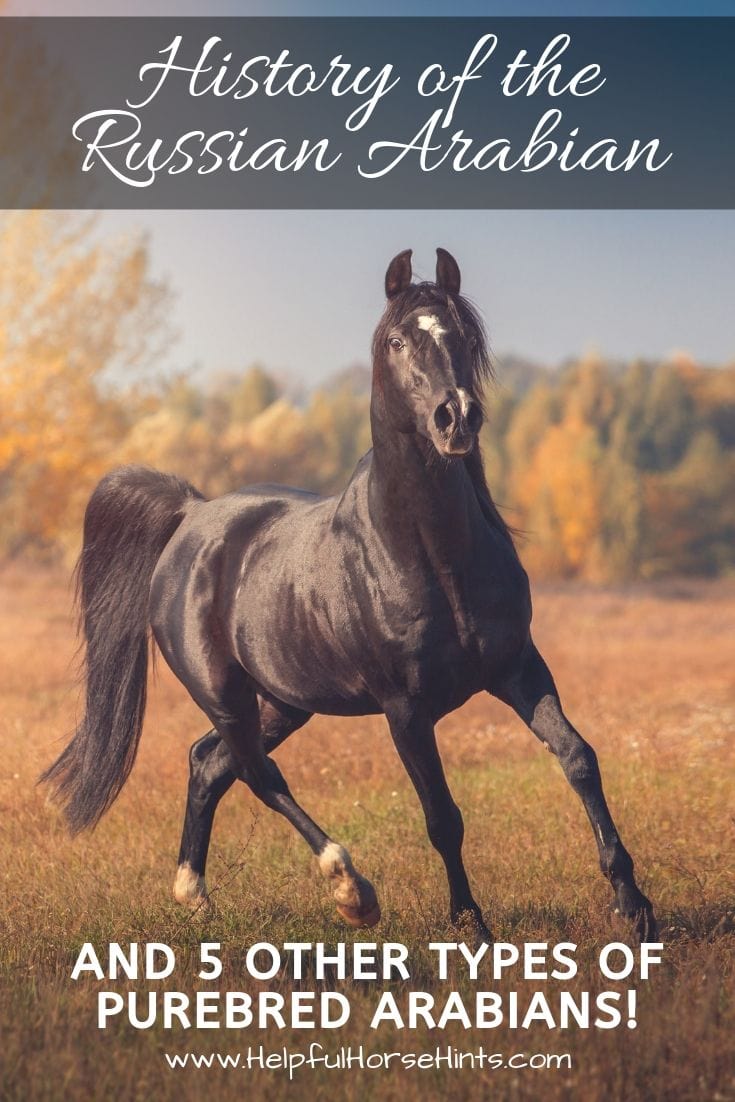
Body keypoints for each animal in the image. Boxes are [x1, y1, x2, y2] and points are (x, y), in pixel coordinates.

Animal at [42, 248, 657, 942]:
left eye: (464, 338)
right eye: (396, 341)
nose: (456, 417)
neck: (433, 555)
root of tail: (192, 517)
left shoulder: (519, 668)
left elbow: (579, 758)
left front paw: (634, 907)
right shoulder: (405, 709)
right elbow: (443, 816)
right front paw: (470, 925)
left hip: (282, 700)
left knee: (209, 764)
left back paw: (195, 895)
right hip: (224, 693)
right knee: (257, 773)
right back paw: (350, 889)